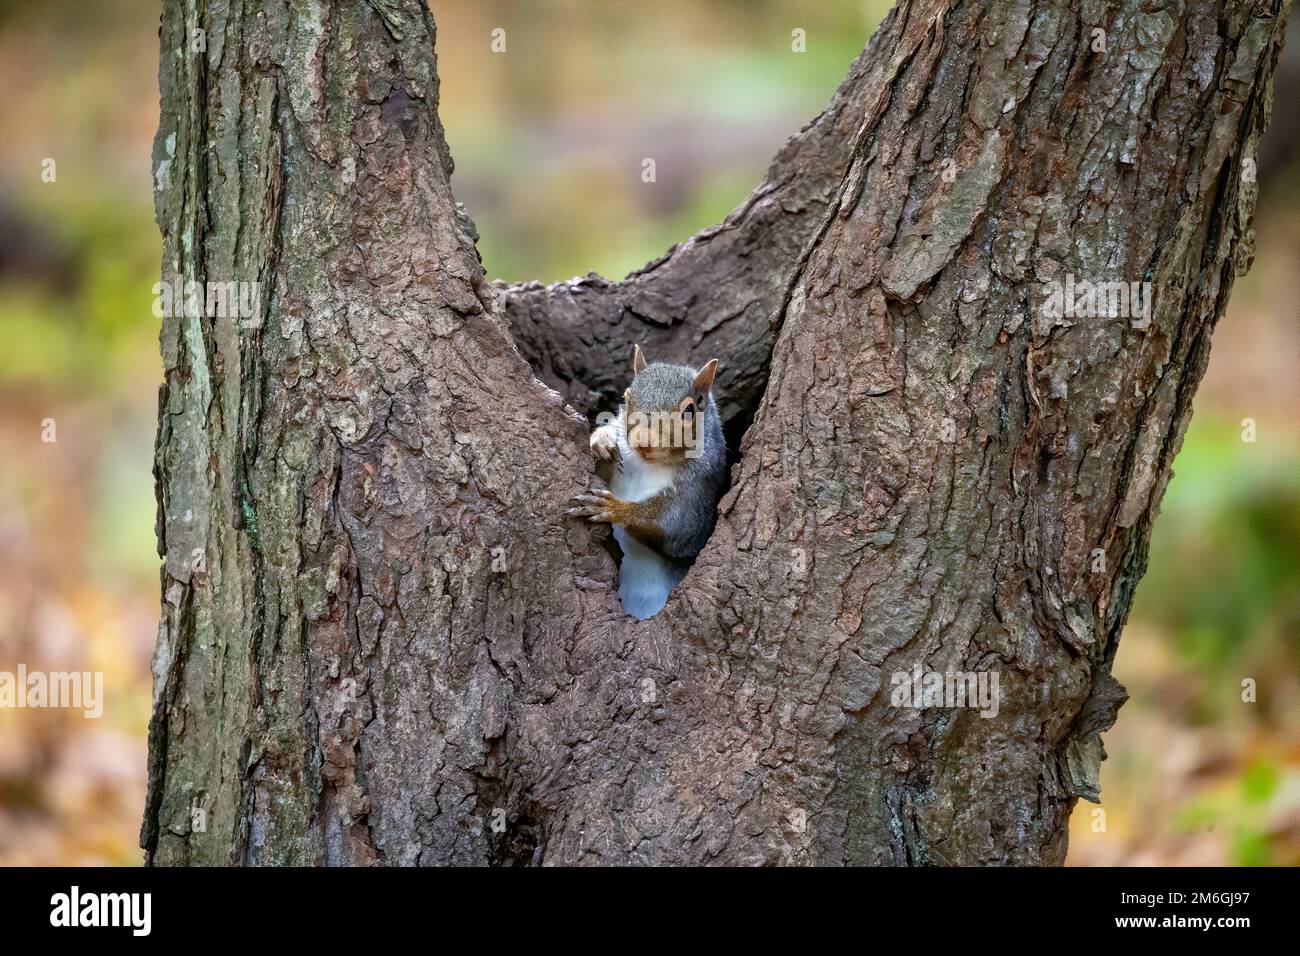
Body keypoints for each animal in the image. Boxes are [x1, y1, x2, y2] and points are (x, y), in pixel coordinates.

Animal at [568, 345, 727, 620]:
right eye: (626, 396)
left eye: (689, 411)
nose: (642, 440)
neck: (648, 465)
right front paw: (602, 440)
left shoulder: (697, 493)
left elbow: (672, 527)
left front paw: (615, 508)